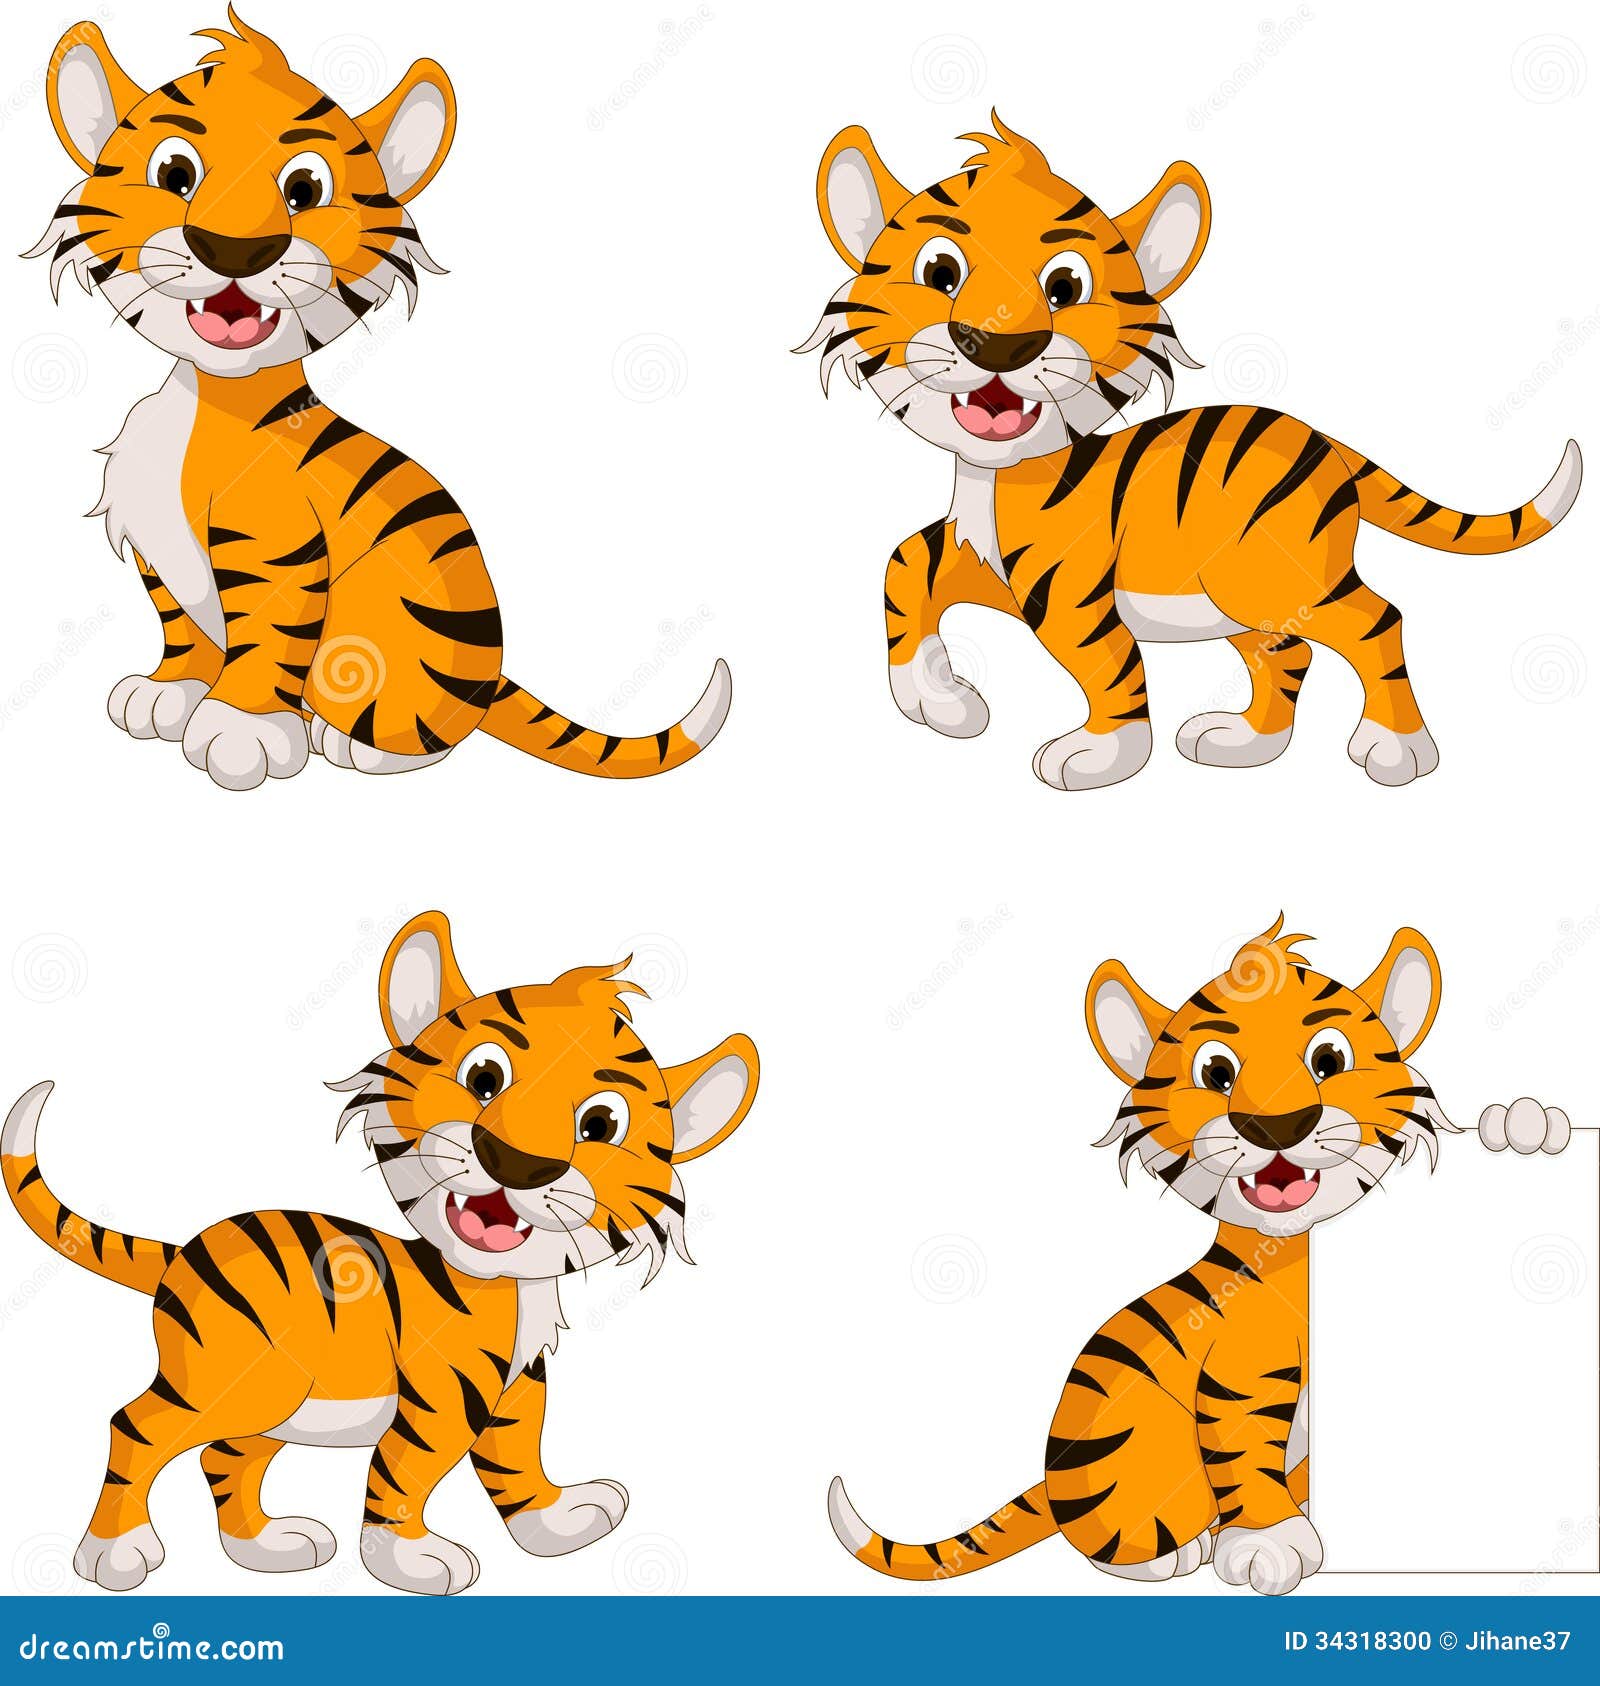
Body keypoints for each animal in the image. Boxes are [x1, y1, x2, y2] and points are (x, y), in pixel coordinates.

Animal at [1, 910, 759, 1595]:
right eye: (484, 1077)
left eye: (600, 1124)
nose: (514, 1158)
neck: (508, 1286)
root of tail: (184, 1247)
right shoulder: (441, 1402)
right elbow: (405, 1473)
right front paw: (411, 1561)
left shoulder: (516, 1392)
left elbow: (516, 1459)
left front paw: (557, 1521)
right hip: (234, 1380)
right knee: (137, 1427)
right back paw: (115, 1552)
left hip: (276, 1398)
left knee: (224, 1458)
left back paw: (267, 1546)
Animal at [26, 12, 730, 791]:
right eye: (174, 175)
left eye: (304, 188)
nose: (234, 249)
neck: (212, 394)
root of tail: (491, 676)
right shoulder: (157, 553)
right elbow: (182, 625)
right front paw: (170, 692)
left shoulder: (277, 552)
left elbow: (265, 640)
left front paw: (240, 730)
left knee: (436, 732)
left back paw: (350, 743)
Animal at [799, 117, 1581, 790]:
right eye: (941, 271)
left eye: (1066, 285)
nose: (997, 342)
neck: (996, 477)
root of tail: (1323, 440)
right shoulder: (979, 560)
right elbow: (903, 564)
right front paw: (941, 699)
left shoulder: (1070, 600)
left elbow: (1110, 670)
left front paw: (1099, 756)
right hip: (1240, 595)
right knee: (1287, 652)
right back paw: (1243, 743)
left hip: (1273, 579)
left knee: (1375, 620)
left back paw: (1397, 749)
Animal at [828, 919, 1569, 1595]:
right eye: (1215, 1072)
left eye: (1328, 1059)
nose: (1277, 1124)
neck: (1277, 1263)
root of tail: (1050, 1482)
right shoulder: (1238, 1390)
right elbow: (1247, 1466)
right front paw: (1271, 1547)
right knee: (1106, 1543)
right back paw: (1173, 1555)